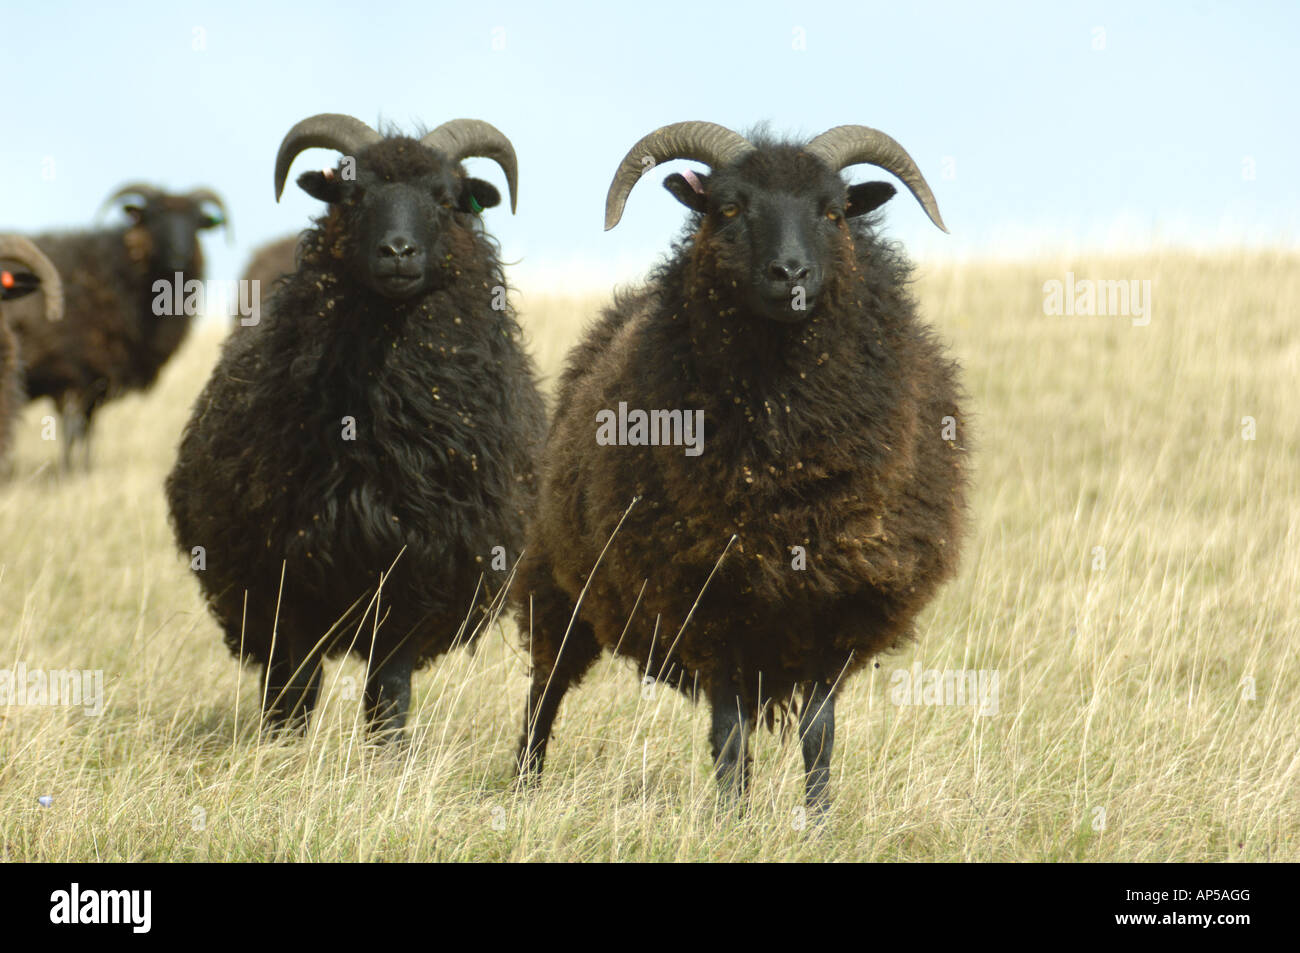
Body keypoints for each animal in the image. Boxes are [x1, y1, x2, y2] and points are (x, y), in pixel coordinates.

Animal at [7, 185, 228, 468]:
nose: (179, 254)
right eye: (154, 216)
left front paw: (85, 468)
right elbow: (71, 432)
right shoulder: (71, 376)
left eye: (196, 221)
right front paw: (69, 470)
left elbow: (88, 432)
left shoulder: (95, 382)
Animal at [166, 113, 547, 738]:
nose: (397, 251)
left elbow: (388, 691)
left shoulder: (417, 570)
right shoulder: (290, 572)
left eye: (446, 198)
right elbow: (296, 685)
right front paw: (283, 748)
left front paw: (386, 750)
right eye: (351, 193)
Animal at [515, 122, 967, 809]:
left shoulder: (839, 607)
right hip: (558, 582)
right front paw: (732, 818)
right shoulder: (707, 600)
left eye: (834, 211)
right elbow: (727, 731)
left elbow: (817, 732)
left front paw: (817, 817)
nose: (791, 272)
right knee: (545, 687)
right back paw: (524, 786)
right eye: (728, 208)